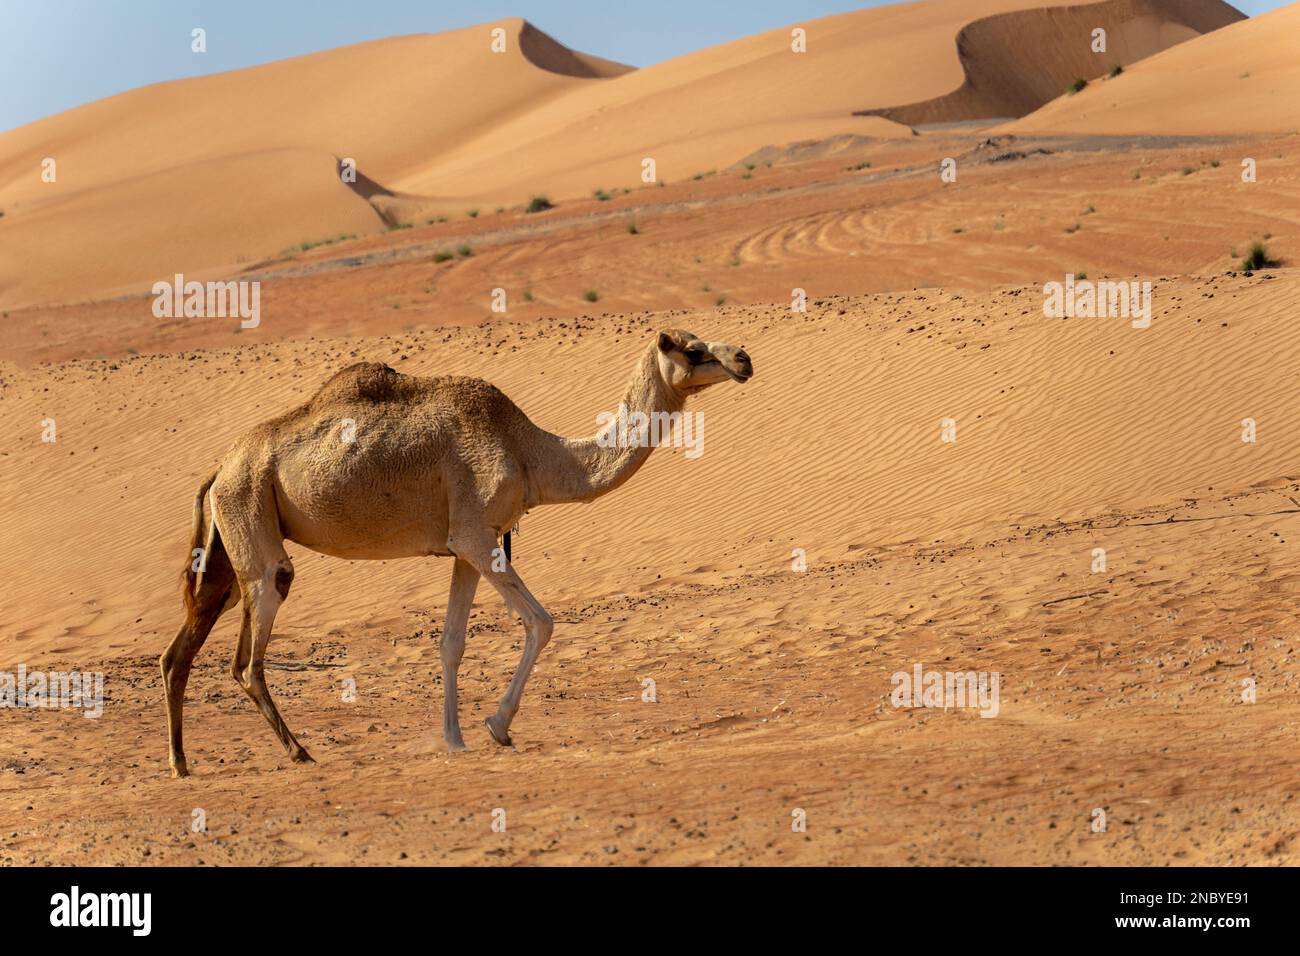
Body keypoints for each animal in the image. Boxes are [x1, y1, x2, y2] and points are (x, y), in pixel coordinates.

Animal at [160, 328, 753, 777]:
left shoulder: (464, 546)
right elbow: (540, 622)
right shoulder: (474, 533)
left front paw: (453, 738)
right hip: (252, 520)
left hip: (228, 545)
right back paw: (299, 751)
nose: (743, 358)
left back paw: (181, 765)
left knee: (184, 646)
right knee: (250, 649)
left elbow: (451, 643)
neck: (532, 453)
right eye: (691, 348)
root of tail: (219, 468)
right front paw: (497, 726)